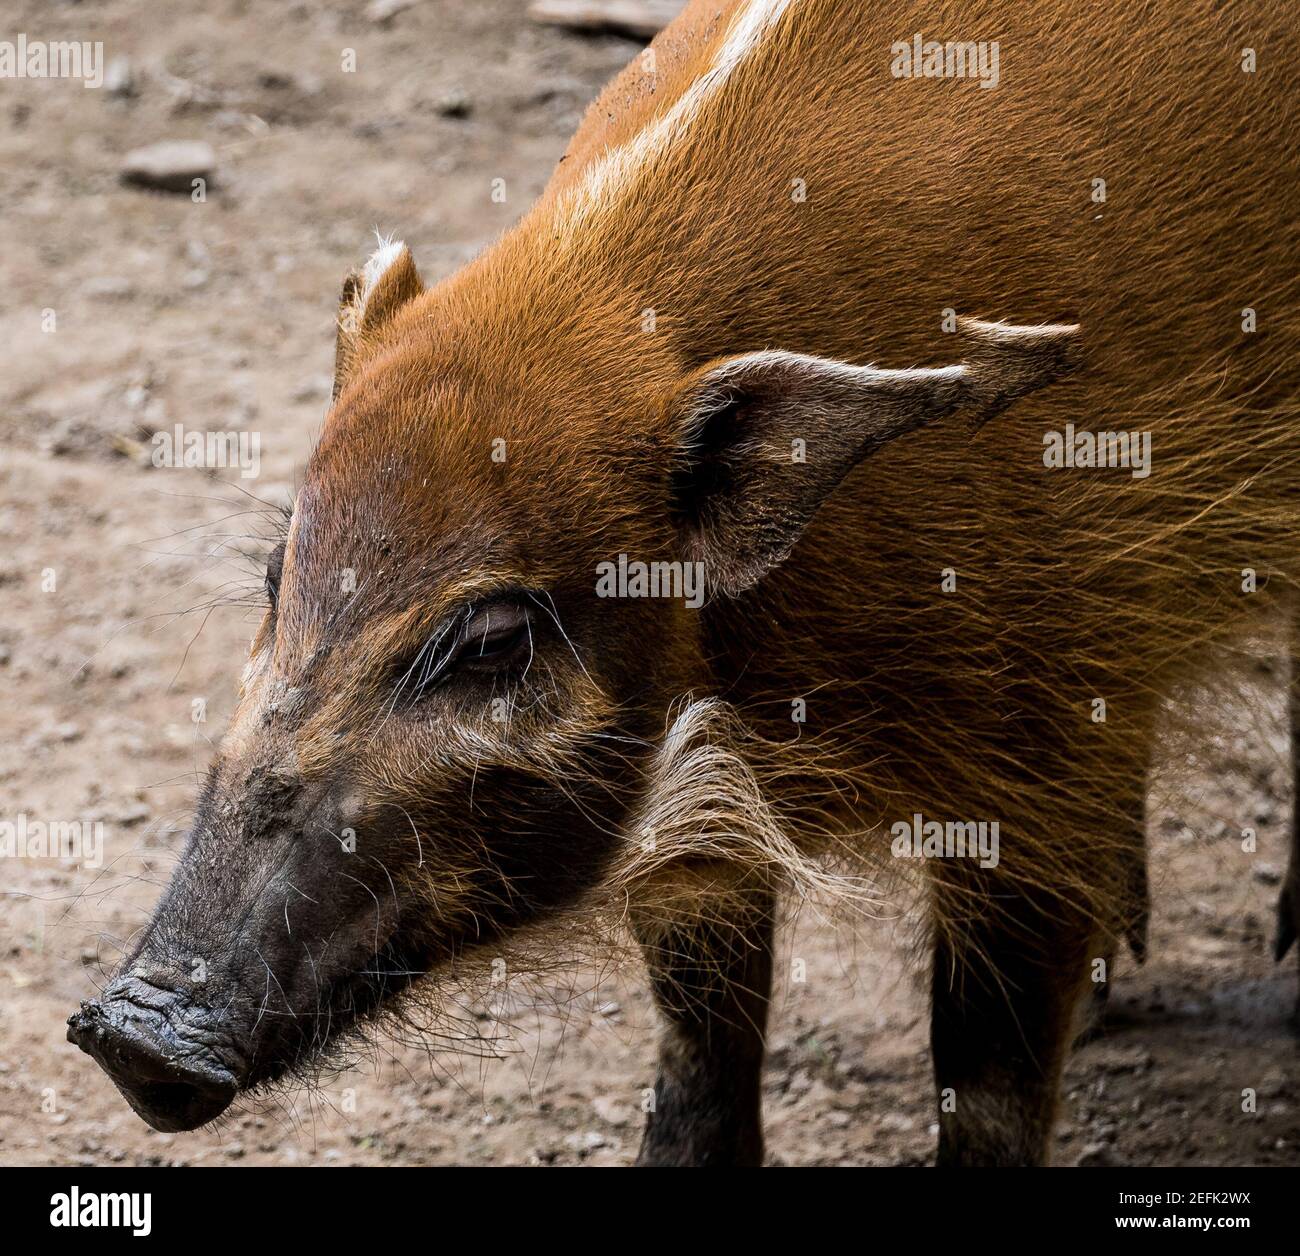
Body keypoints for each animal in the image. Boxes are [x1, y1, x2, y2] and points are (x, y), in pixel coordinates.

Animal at [69, 0, 1300, 1164]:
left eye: (495, 639)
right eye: (278, 582)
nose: (130, 1032)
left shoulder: (1052, 743)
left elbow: (988, 1075)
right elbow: (699, 1021)